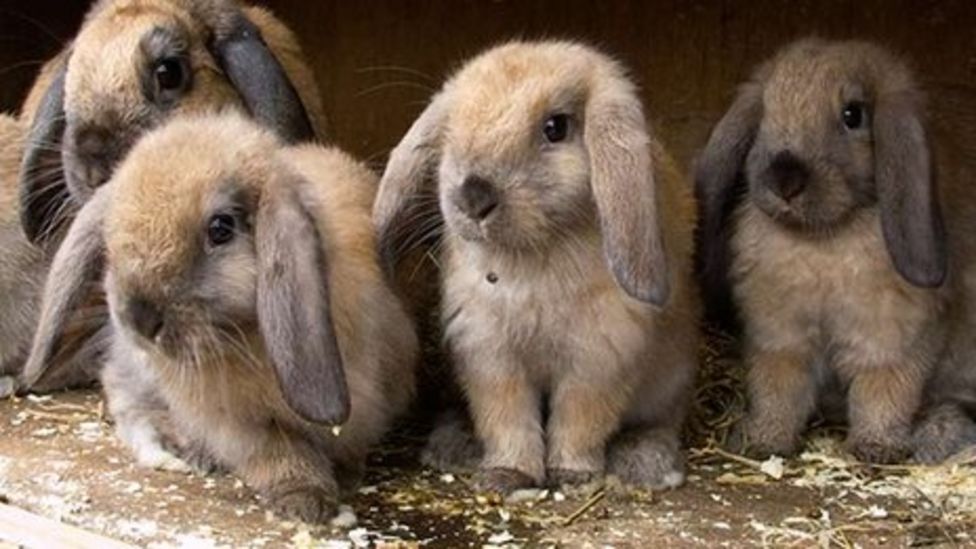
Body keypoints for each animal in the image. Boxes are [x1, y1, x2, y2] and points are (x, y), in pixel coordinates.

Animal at [22, 112, 418, 522]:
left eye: (220, 228)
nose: (139, 319)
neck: (247, 339)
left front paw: (343, 481)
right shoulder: (239, 427)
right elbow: (280, 454)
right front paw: (304, 501)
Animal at [374, 40, 700, 493]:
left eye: (555, 128)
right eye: (452, 126)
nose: (473, 196)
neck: (529, 257)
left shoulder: (599, 359)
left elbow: (580, 417)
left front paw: (572, 474)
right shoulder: (488, 354)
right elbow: (506, 417)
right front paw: (506, 475)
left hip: (670, 380)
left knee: (661, 422)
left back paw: (646, 461)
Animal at [694, 37, 976, 464]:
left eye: (852, 114)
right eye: (765, 112)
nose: (785, 179)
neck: (820, 240)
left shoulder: (891, 344)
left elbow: (882, 394)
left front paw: (875, 448)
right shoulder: (779, 341)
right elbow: (778, 393)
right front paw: (763, 441)